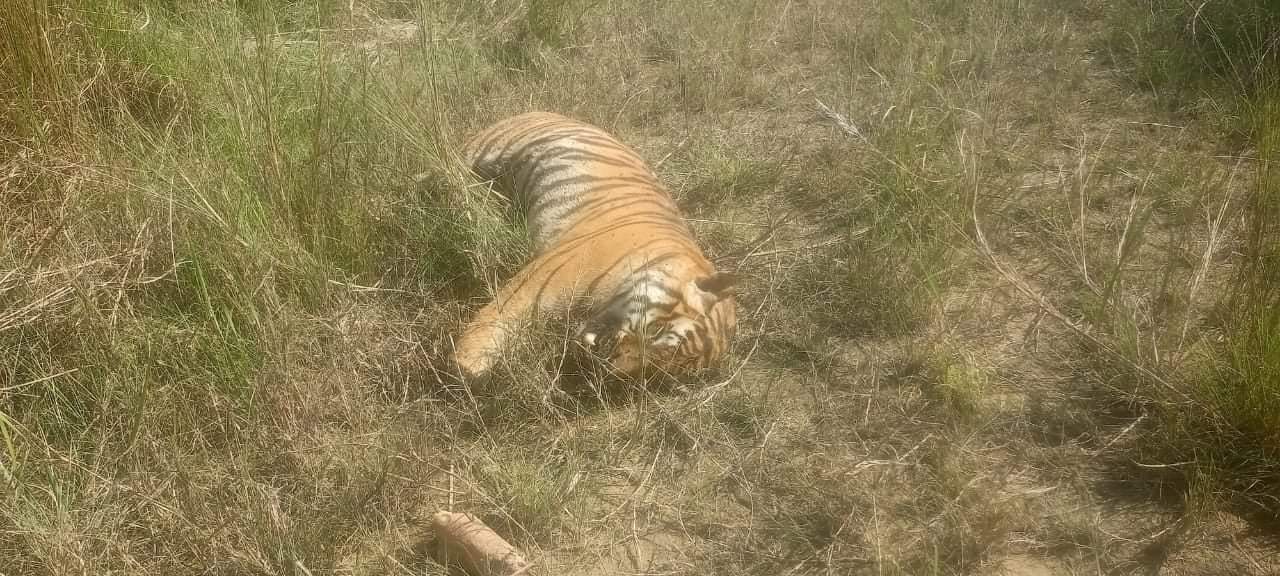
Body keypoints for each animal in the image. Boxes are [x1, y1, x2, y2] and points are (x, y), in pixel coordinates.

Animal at [452, 111, 737, 381]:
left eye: (656, 370)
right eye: (657, 331)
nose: (604, 366)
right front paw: (466, 364)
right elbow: (504, 311)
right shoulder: (552, 272)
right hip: (483, 151)